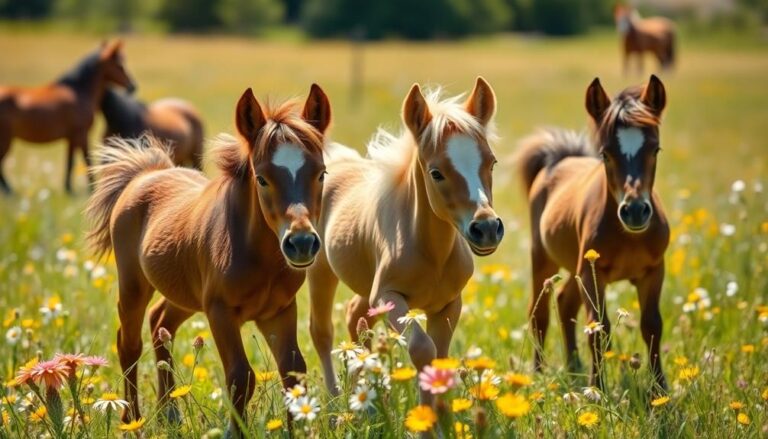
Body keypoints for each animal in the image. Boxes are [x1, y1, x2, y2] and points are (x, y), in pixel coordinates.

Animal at [0, 40, 135, 194]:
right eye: (119, 65)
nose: (133, 86)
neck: (78, 92)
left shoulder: (71, 137)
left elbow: (69, 163)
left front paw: (68, 189)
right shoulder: (81, 134)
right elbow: (87, 160)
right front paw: (92, 188)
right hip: (5, 140)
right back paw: (9, 191)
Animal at [85, 85, 332, 436]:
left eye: (321, 174)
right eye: (262, 178)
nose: (301, 243)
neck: (259, 259)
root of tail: (144, 173)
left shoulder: (279, 312)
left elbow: (293, 374)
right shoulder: (220, 311)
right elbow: (241, 377)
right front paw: (234, 431)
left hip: (185, 294)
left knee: (160, 322)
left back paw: (169, 414)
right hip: (133, 285)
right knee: (128, 344)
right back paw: (132, 420)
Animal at [308, 77, 504, 405]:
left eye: (491, 163)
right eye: (436, 172)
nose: (487, 228)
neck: (432, 255)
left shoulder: (449, 304)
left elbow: (440, 357)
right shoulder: (387, 297)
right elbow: (422, 349)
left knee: (356, 317)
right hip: (320, 270)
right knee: (322, 331)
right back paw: (337, 398)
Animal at [516, 75, 670, 391]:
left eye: (655, 149)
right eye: (605, 154)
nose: (635, 211)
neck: (628, 237)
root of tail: (561, 158)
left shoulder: (653, 272)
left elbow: (652, 325)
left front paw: (660, 389)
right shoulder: (592, 273)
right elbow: (599, 328)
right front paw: (597, 389)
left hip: (576, 267)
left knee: (564, 303)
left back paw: (573, 366)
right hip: (545, 259)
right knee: (540, 313)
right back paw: (539, 373)